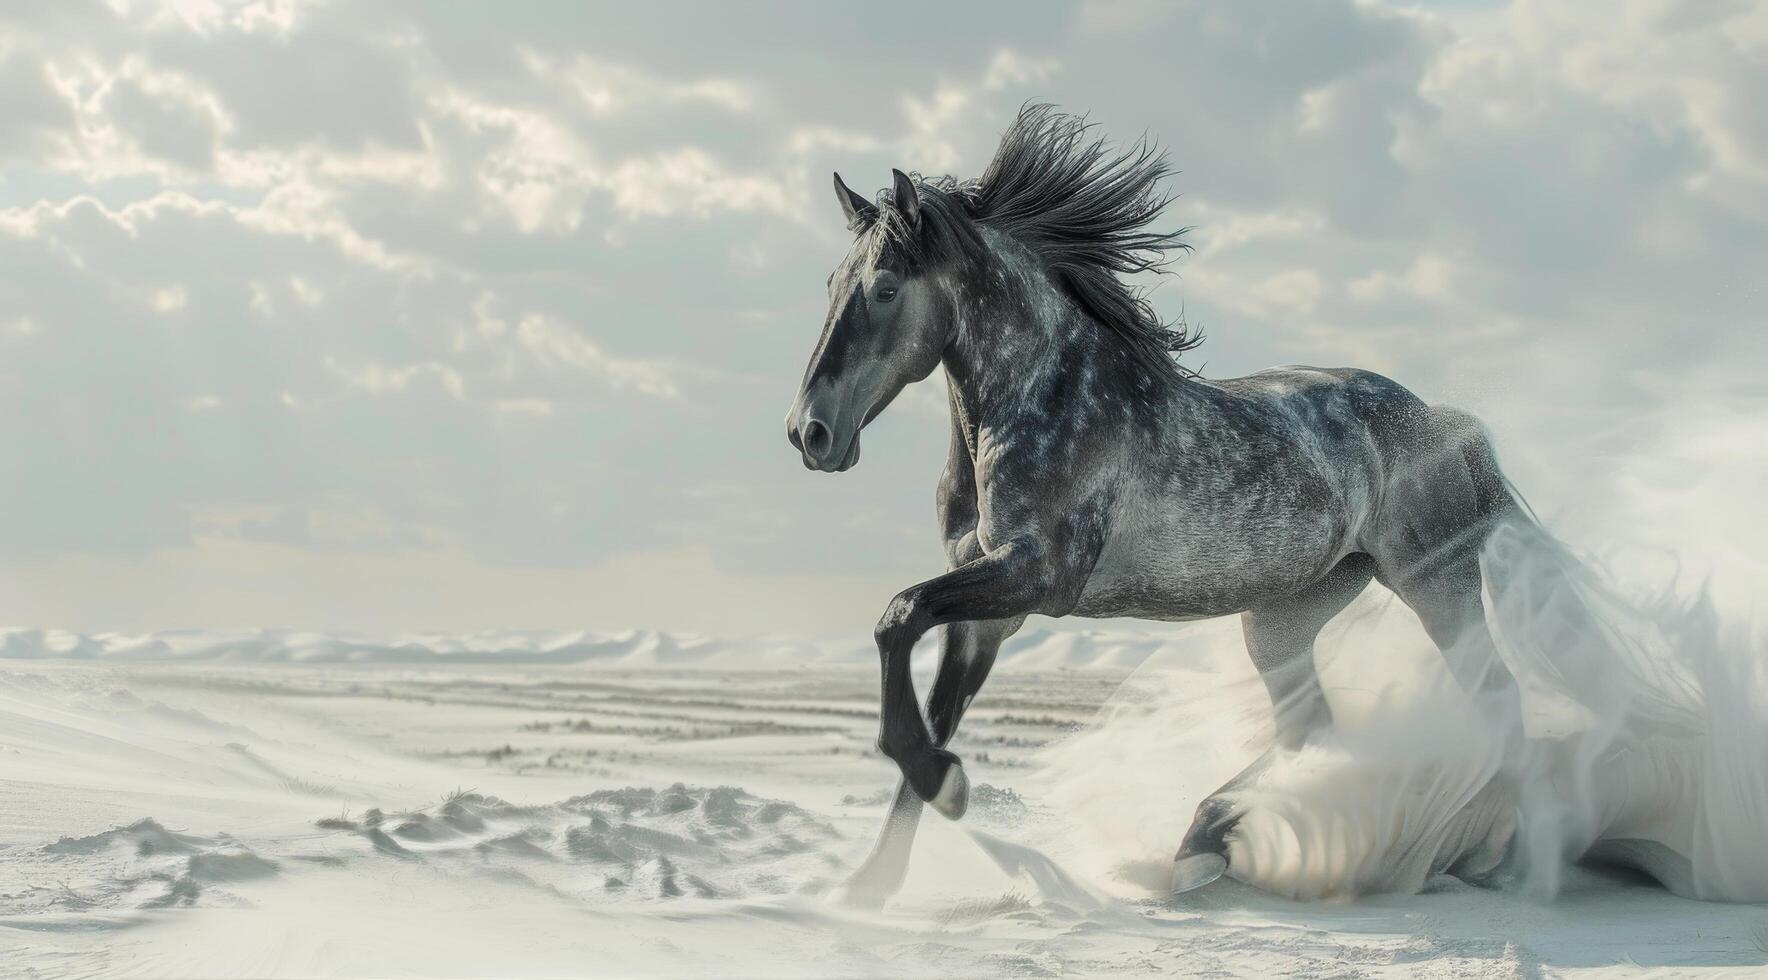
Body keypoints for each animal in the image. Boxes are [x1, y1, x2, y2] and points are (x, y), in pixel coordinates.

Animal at [784, 105, 1524, 903]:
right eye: (833, 281)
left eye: (886, 287)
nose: (809, 432)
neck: (1040, 397)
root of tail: (1438, 417)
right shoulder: (987, 617)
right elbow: (927, 698)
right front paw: (872, 882)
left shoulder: (1037, 577)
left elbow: (897, 617)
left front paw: (945, 788)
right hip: (1284, 616)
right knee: (1311, 732)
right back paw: (1201, 848)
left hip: (1434, 584)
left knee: (1498, 698)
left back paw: (1497, 856)